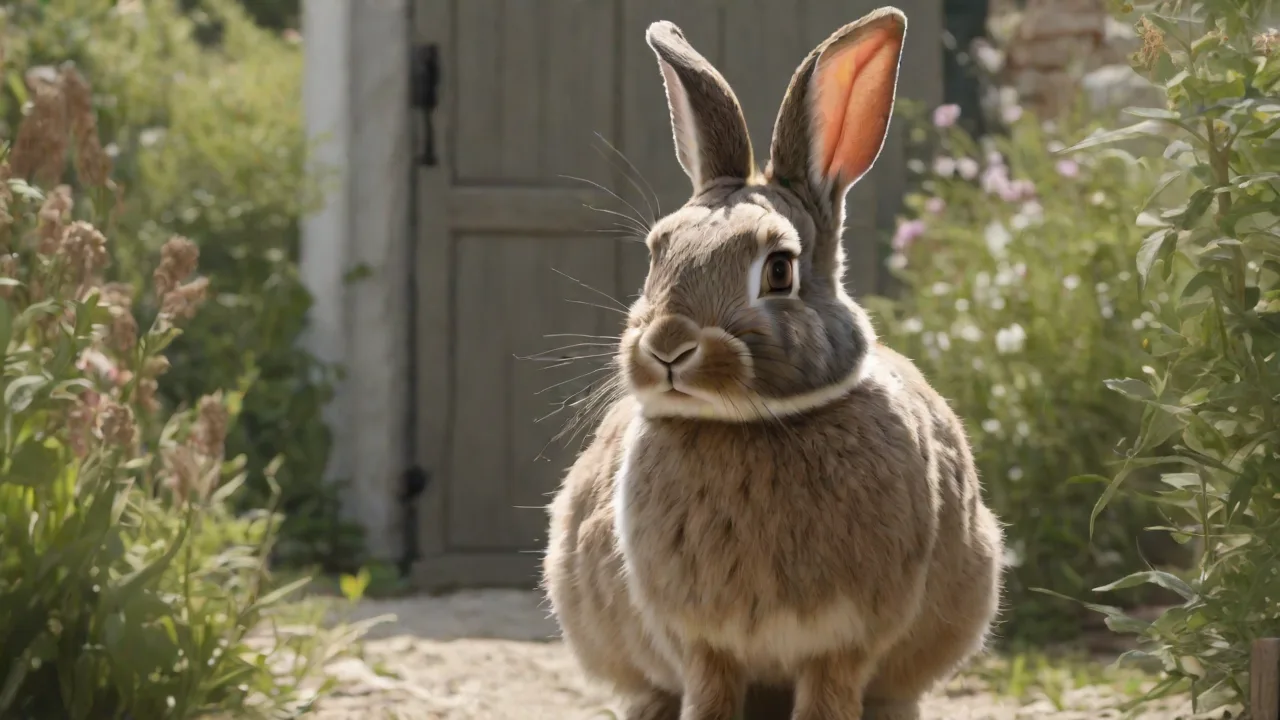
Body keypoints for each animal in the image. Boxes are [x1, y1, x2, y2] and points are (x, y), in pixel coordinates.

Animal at [542, 7, 1005, 720]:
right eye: (656, 254)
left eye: (779, 269)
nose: (667, 346)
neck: (749, 423)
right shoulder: (703, 645)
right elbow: (707, 695)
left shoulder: (843, 644)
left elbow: (828, 698)